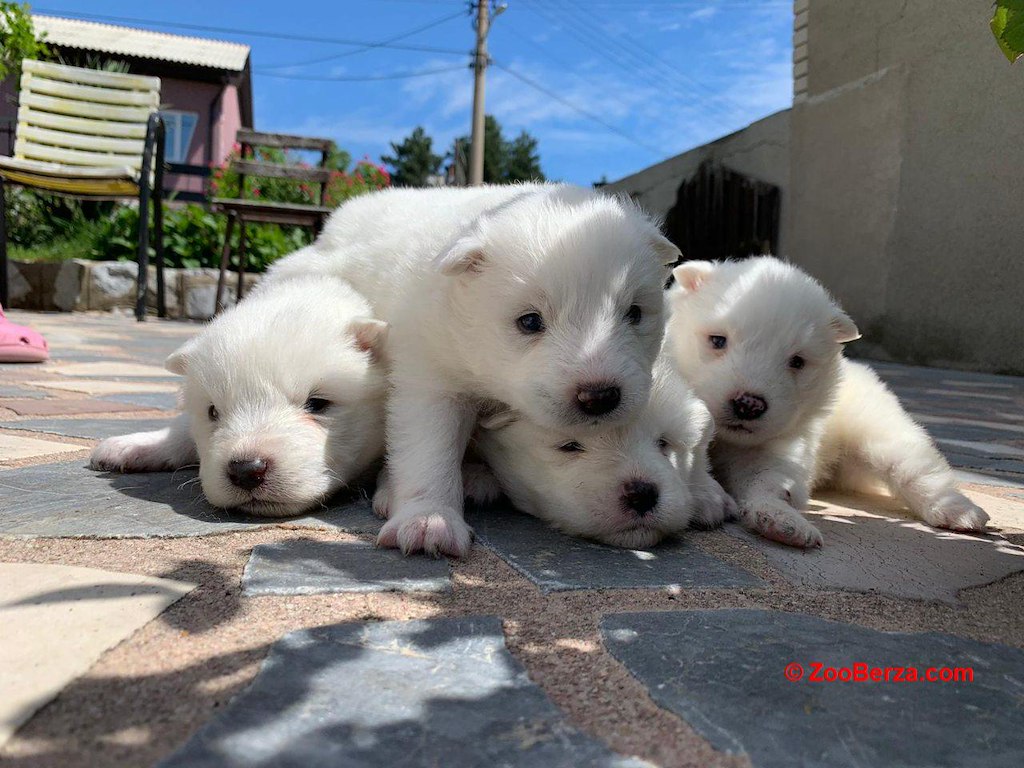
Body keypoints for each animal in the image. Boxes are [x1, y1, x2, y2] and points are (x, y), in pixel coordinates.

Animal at [270, 186, 679, 561]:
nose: (599, 396)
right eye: (530, 321)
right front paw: (428, 521)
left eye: (634, 313)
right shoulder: (431, 375)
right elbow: (429, 448)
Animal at [667, 256, 987, 548]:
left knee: (916, 469)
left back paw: (959, 511)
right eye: (718, 340)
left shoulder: (779, 450)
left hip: (881, 433)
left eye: (797, 361)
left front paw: (781, 519)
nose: (749, 404)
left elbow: (767, 484)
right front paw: (707, 496)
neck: (729, 441)